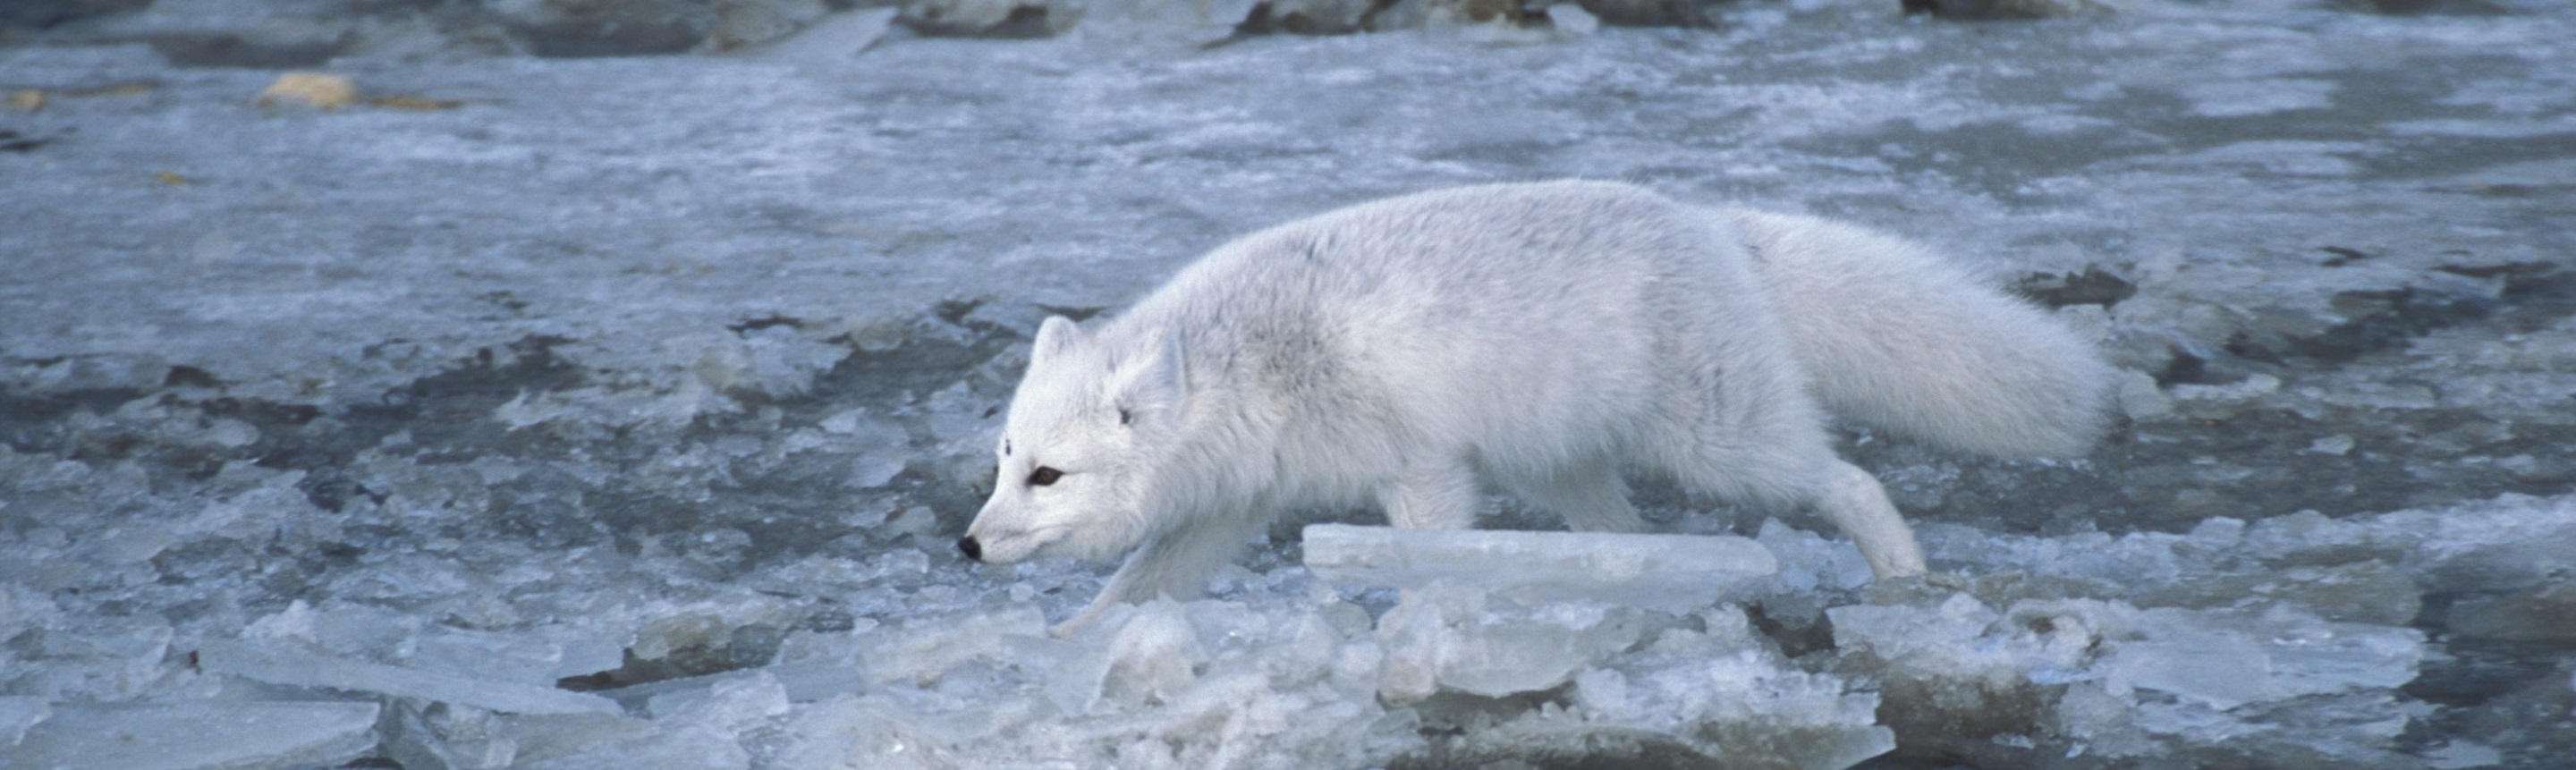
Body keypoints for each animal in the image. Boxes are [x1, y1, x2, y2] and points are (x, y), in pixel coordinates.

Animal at [956, 180, 2116, 634]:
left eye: (1048, 475)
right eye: (1004, 459)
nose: (966, 546)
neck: (1253, 369)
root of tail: (1712, 221)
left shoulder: (1418, 466)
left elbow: (1427, 553)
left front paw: (1418, 632)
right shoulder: (1234, 503)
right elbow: (1141, 589)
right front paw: (1064, 650)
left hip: (1722, 442)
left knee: (1850, 478)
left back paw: (1904, 578)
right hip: (1562, 467)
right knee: (1632, 540)